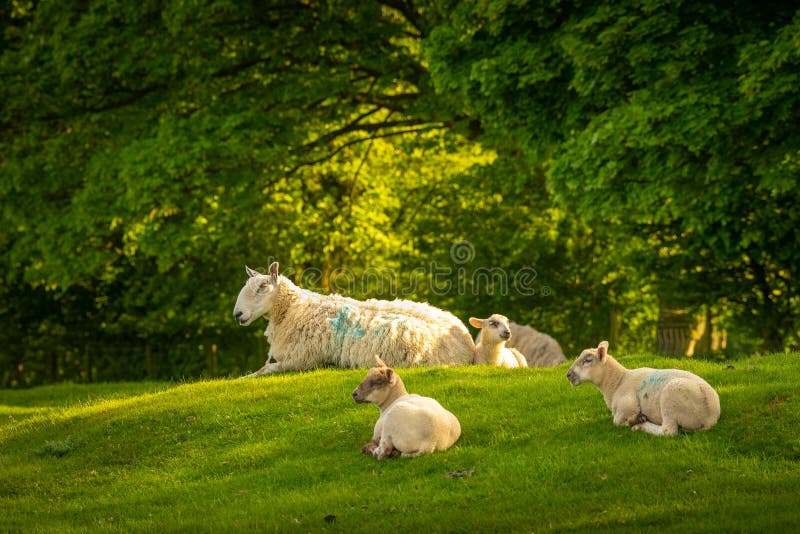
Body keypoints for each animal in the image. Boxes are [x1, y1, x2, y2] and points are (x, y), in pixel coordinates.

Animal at [233, 262, 475, 376]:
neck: (293, 309)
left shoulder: (303, 360)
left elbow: (263, 370)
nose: (237, 315)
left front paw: (243, 378)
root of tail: (468, 344)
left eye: (263, 286)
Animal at [566, 341, 721, 436]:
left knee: (668, 431)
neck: (617, 383)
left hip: (671, 399)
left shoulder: (628, 406)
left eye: (587, 360)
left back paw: (639, 426)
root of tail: (710, 417)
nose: (568, 375)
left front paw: (634, 420)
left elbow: (617, 422)